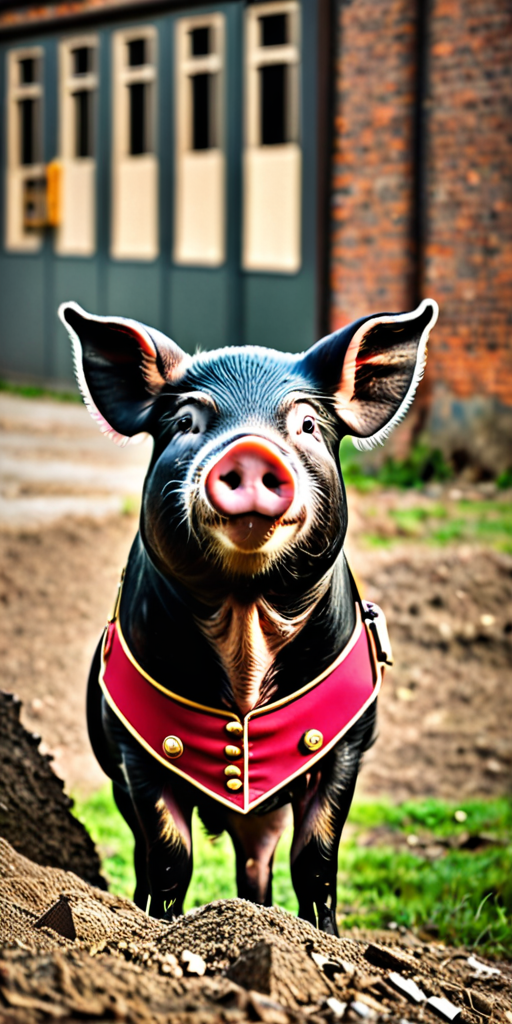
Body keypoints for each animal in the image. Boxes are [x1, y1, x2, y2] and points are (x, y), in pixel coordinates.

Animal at [59, 297, 438, 934]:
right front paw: (163, 933)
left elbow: (316, 857)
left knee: (257, 861)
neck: (245, 623)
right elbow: (170, 856)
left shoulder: (346, 746)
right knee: (149, 854)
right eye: (187, 423)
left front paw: (324, 940)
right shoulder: (138, 751)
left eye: (306, 425)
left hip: (265, 812)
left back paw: (258, 915)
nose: (251, 449)